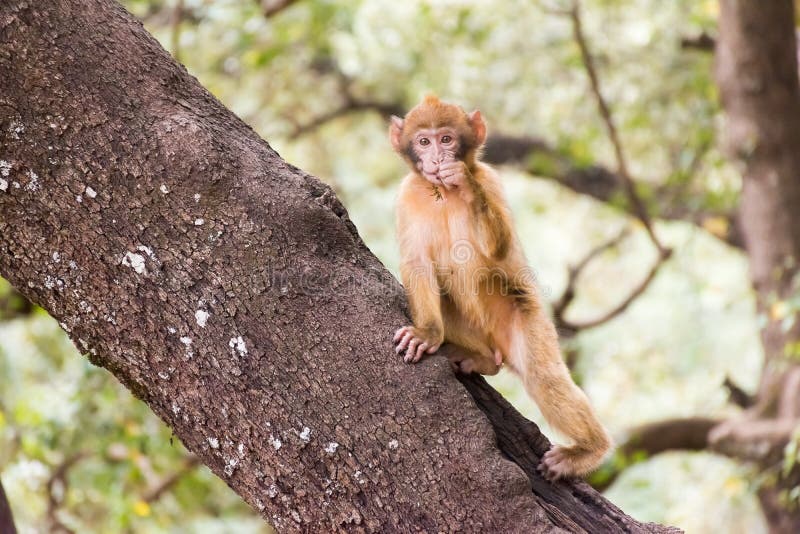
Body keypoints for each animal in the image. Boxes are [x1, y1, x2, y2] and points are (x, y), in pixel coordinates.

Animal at [389, 95, 612, 480]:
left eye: (446, 139)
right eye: (424, 141)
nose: (437, 159)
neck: (441, 193)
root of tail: (497, 350)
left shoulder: (490, 180)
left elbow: (499, 250)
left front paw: (463, 181)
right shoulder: (407, 196)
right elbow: (418, 265)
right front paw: (427, 333)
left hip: (526, 321)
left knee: (542, 376)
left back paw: (589, 450)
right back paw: (478, 358)